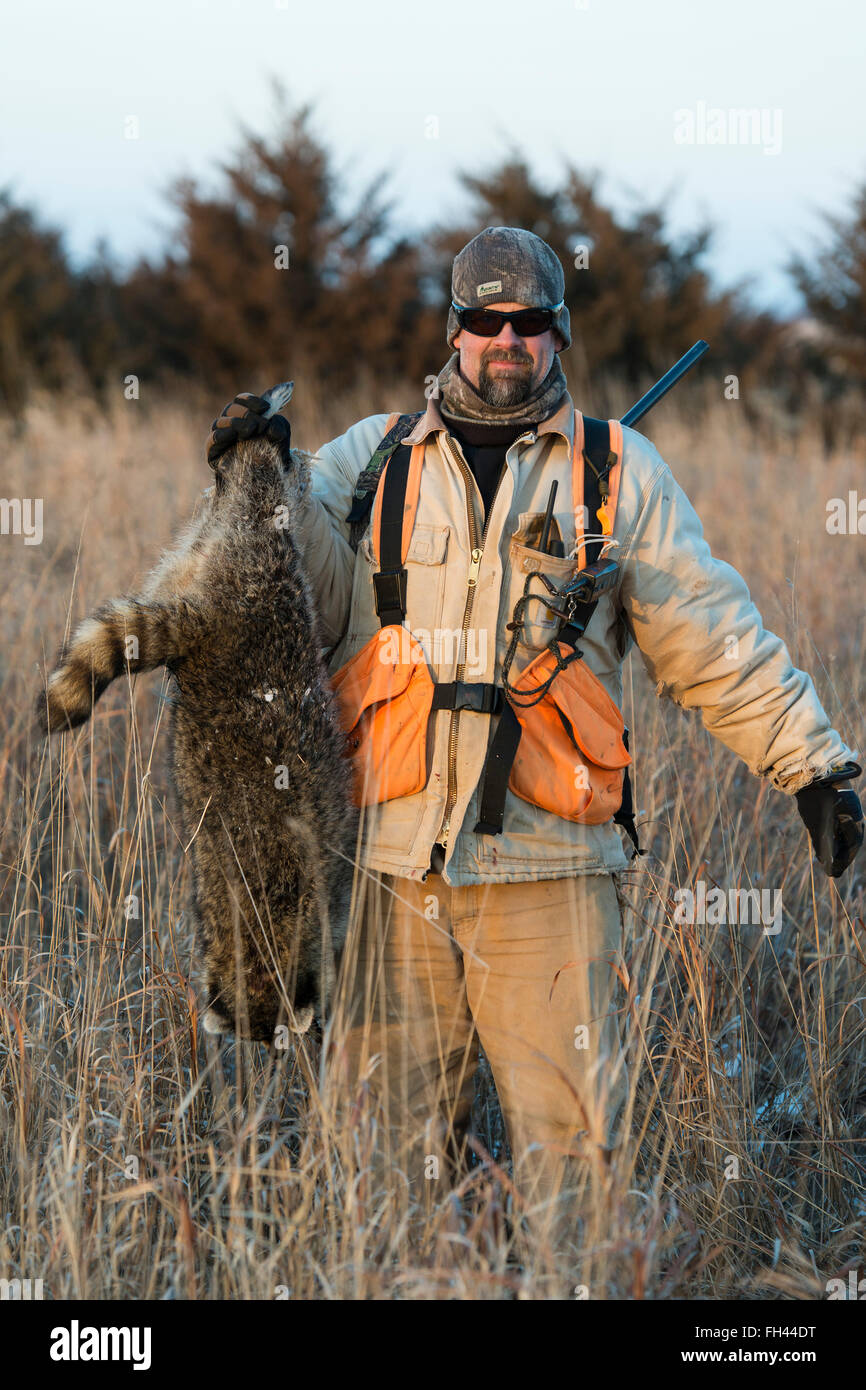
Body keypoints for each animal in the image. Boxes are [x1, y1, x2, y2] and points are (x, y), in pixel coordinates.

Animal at [38, 384, 358, 1042]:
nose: (271, 1054)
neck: (263, 932)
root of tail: (211, 620)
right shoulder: (323, 892)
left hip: (192, 556)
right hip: (248, 557)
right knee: (265, 495)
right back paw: (269, 455)